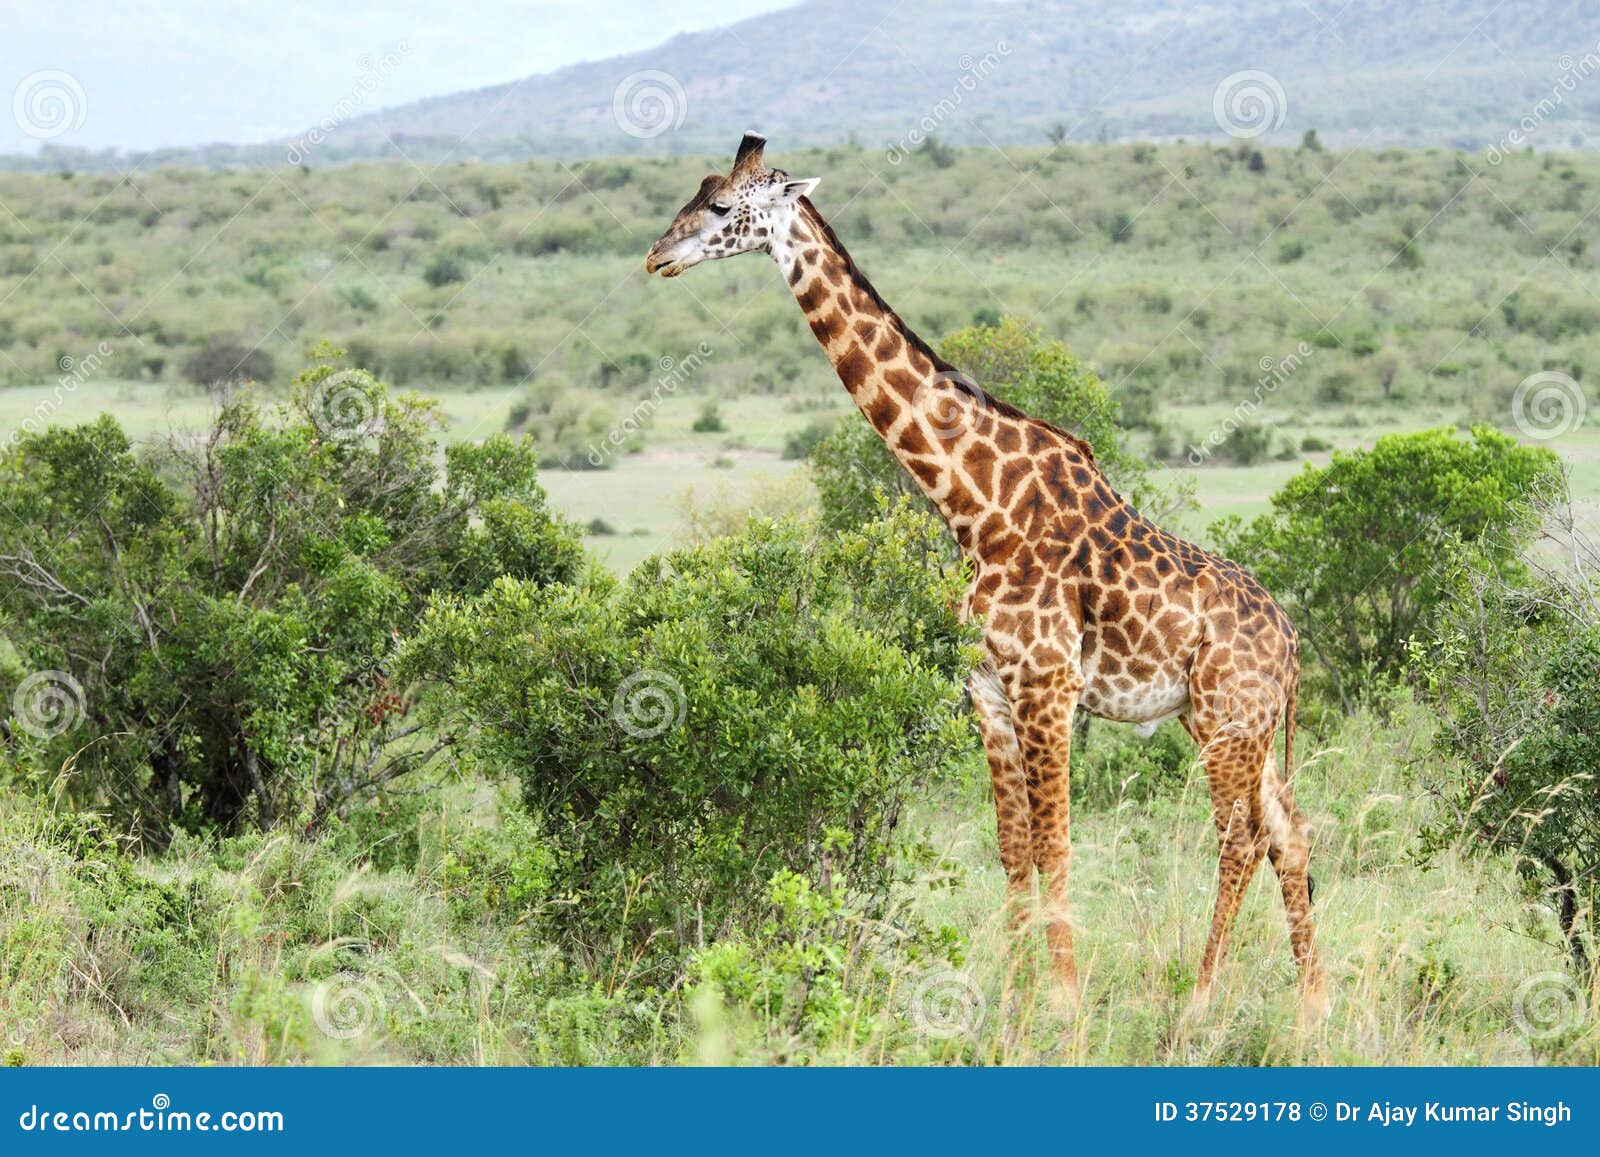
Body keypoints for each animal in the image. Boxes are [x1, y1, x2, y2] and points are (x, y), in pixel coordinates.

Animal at [645, 133, 1326, 1016]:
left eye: (723, 206)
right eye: (695, 192)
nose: (658, 256)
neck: (974, 503)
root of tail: (1293, 644)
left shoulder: (1049, 683)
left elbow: (1058, 842)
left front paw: (1065, 1008)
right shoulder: (988, 688)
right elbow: (1013, 847)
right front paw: (1010, 1005)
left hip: (1226, 720)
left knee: (1240, 838)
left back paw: (1201, 1003)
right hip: (1228, 722)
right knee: (1289, 829)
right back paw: (1316, 1007)